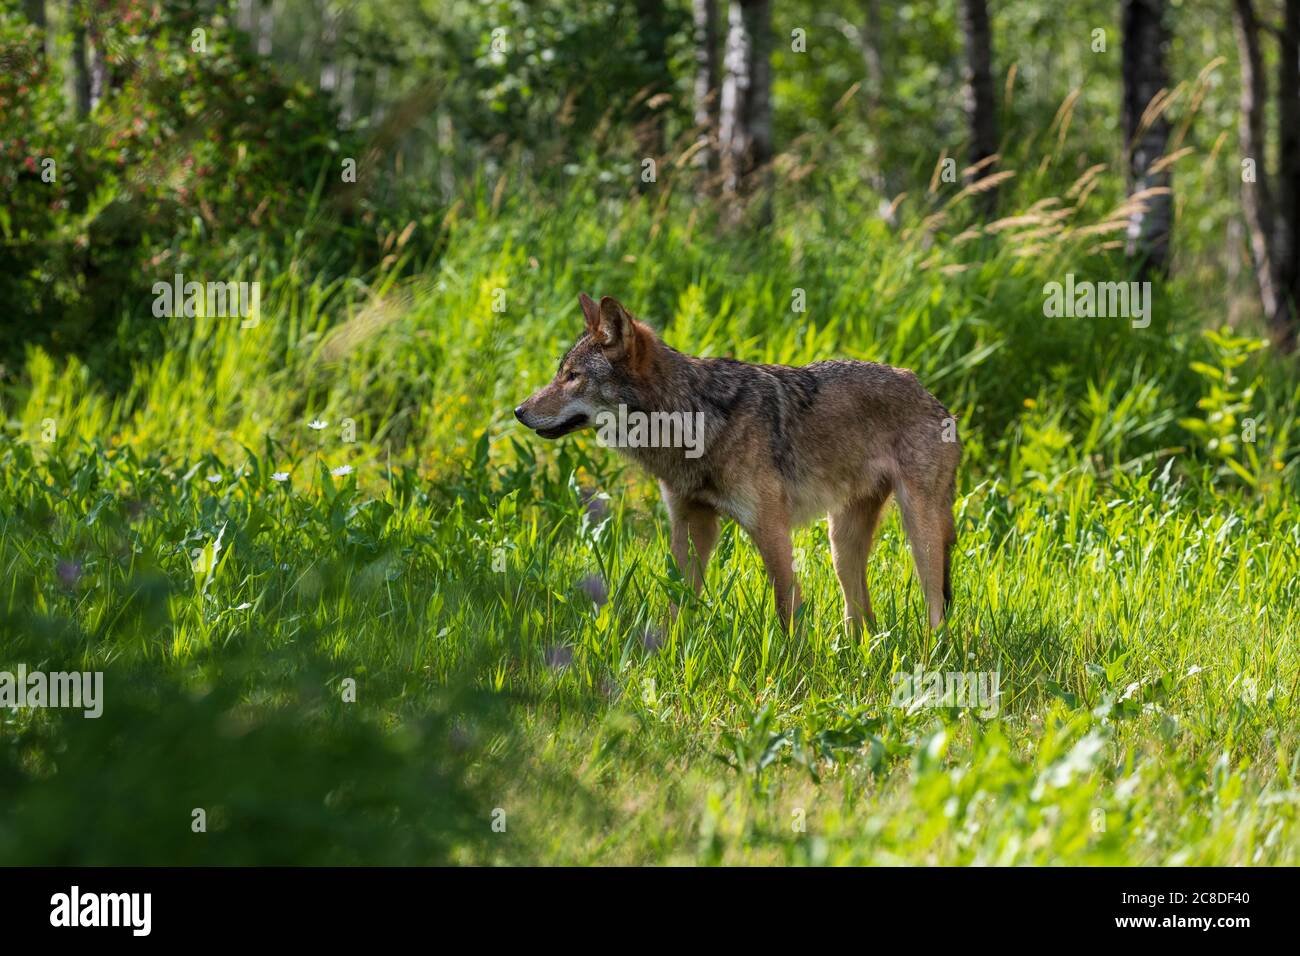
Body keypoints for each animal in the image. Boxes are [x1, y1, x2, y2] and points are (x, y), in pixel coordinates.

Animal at [515, 293, 961, 631]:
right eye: (560, 373)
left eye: (572, 377)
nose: (519, 411)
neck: (690, 419)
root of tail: (929, 394)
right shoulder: (691, 524)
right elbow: (677, 600)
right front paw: (667, 652)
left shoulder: (770, 527)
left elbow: (786, 606)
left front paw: (792, 666)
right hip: (842, 544)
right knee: (861, 615)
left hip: (919, 534)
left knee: (935, 605)